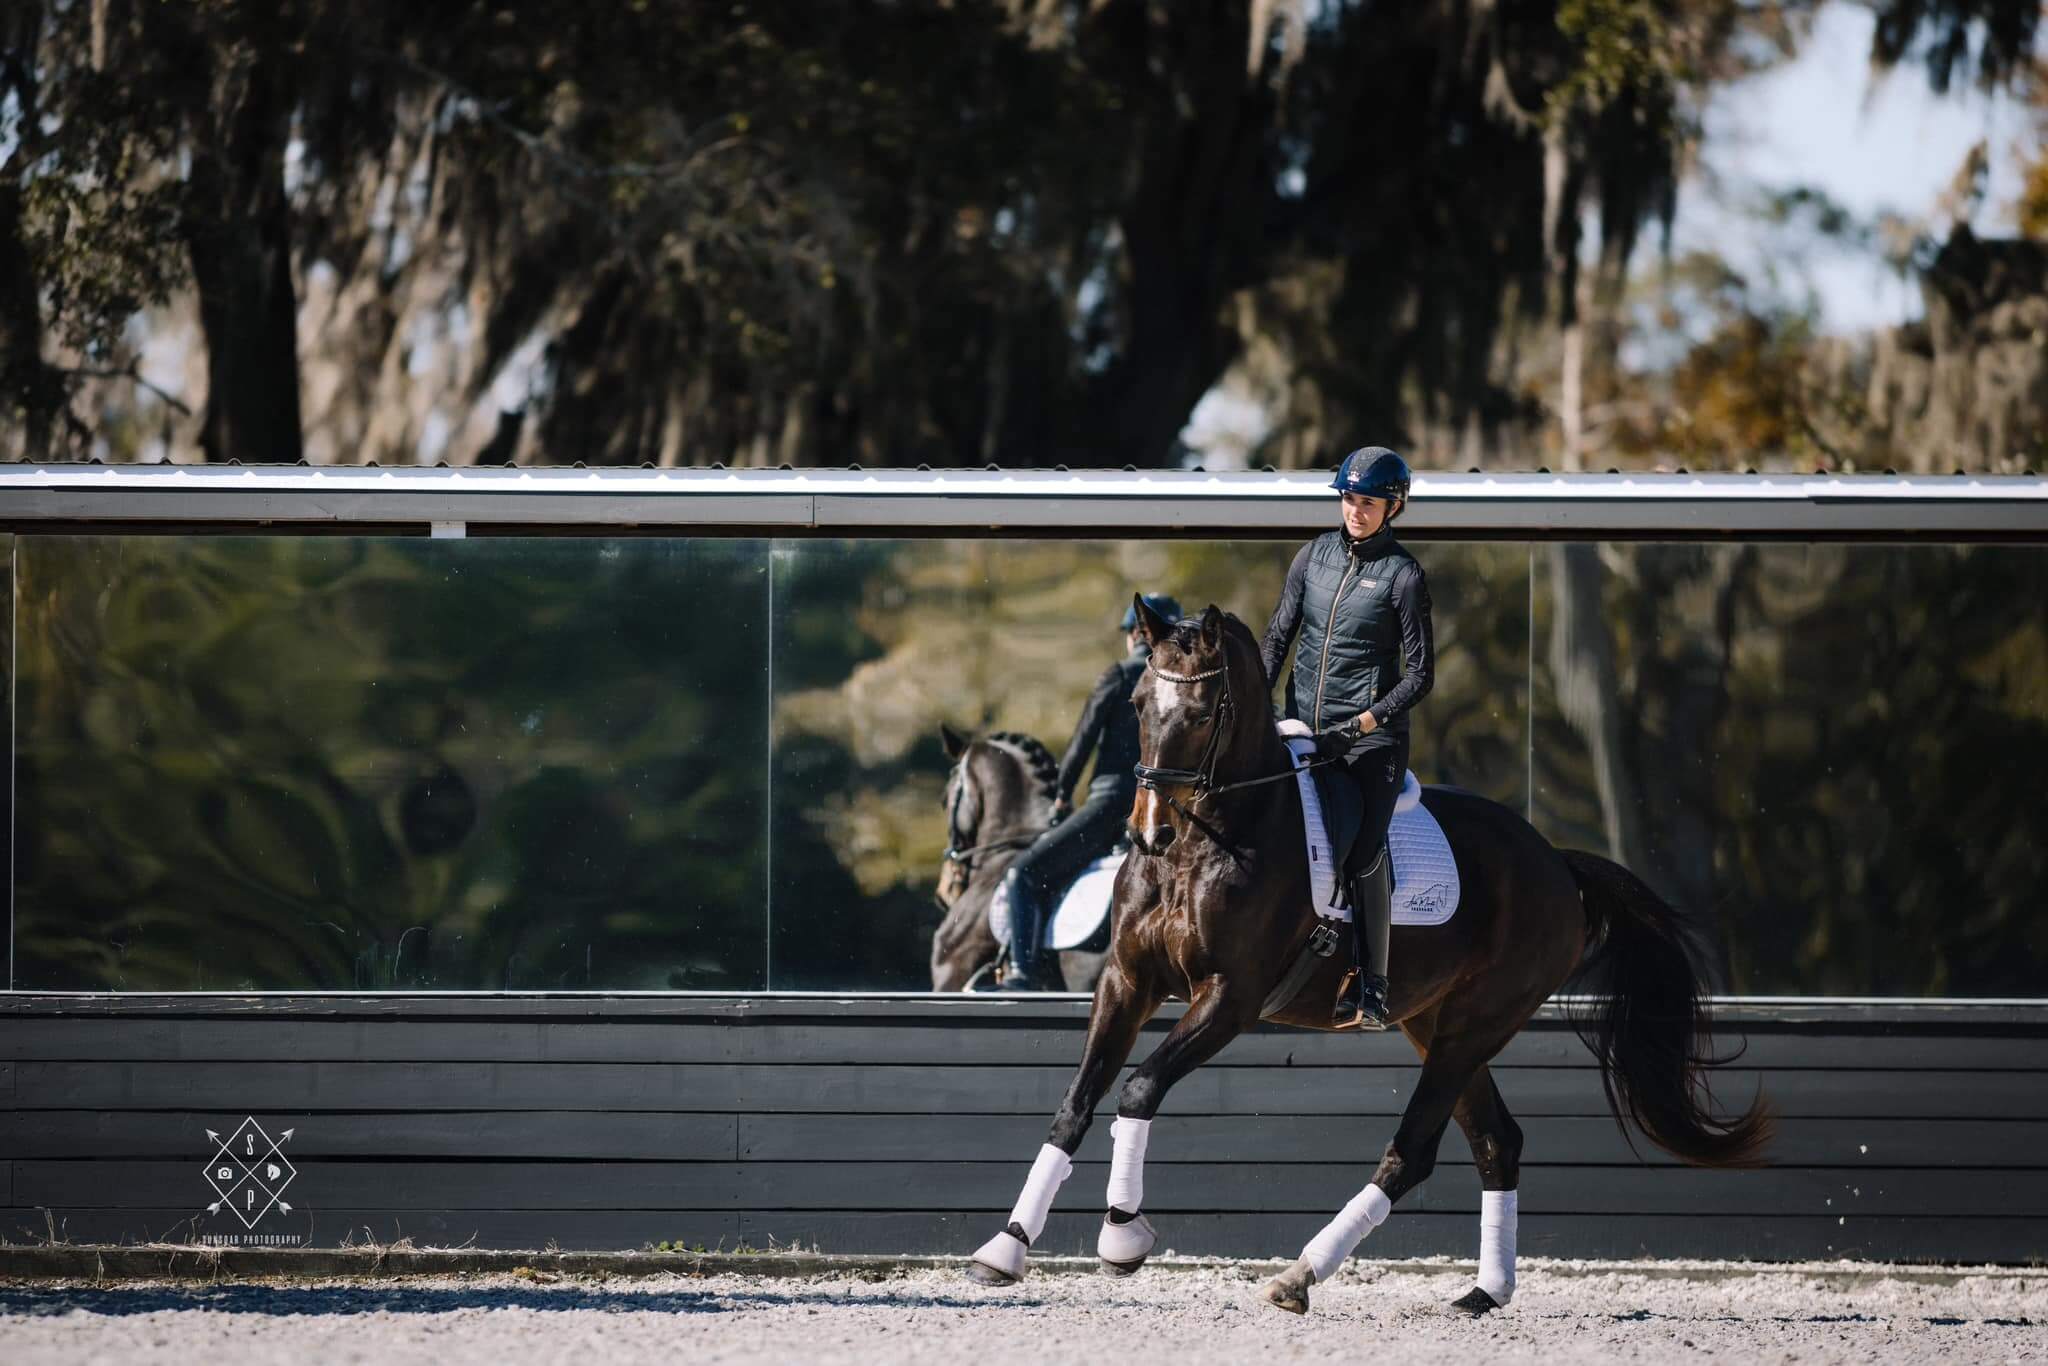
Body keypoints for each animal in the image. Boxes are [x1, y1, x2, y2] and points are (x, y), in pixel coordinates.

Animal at [963, 598, 1771, 1315]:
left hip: (1472, 1025)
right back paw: (1483, 1293)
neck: (1209, 839)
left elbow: (1137, 1088)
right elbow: (1075, 1103)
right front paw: (1005, 1248)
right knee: (1495, 1142)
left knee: (1414, 1151)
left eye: (1198, 716)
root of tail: (1555, 864)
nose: (1148, 833)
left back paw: (1301, 1276)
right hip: (1435, 1024)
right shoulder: (1127, 982)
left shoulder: (1230, 996)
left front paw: (1123, 1237)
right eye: (1135, 706)